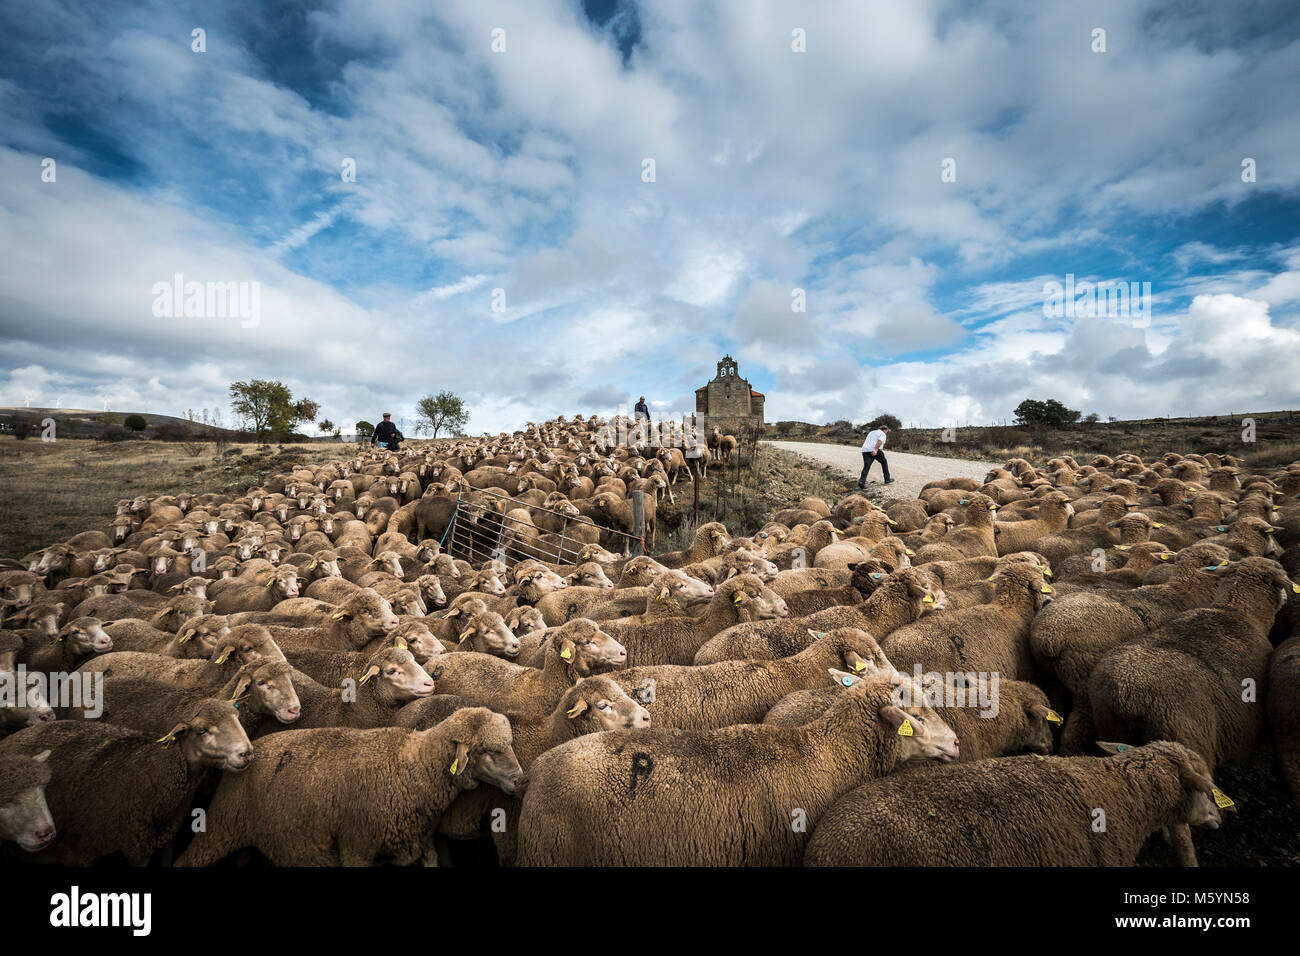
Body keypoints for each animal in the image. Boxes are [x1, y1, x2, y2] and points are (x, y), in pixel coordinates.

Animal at [175, 707, 521, 866]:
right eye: (486, 751)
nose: (519, 778)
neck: (412, 767)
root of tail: (250, 750)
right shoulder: (357, 847)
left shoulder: (417, 845)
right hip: (220, 827)